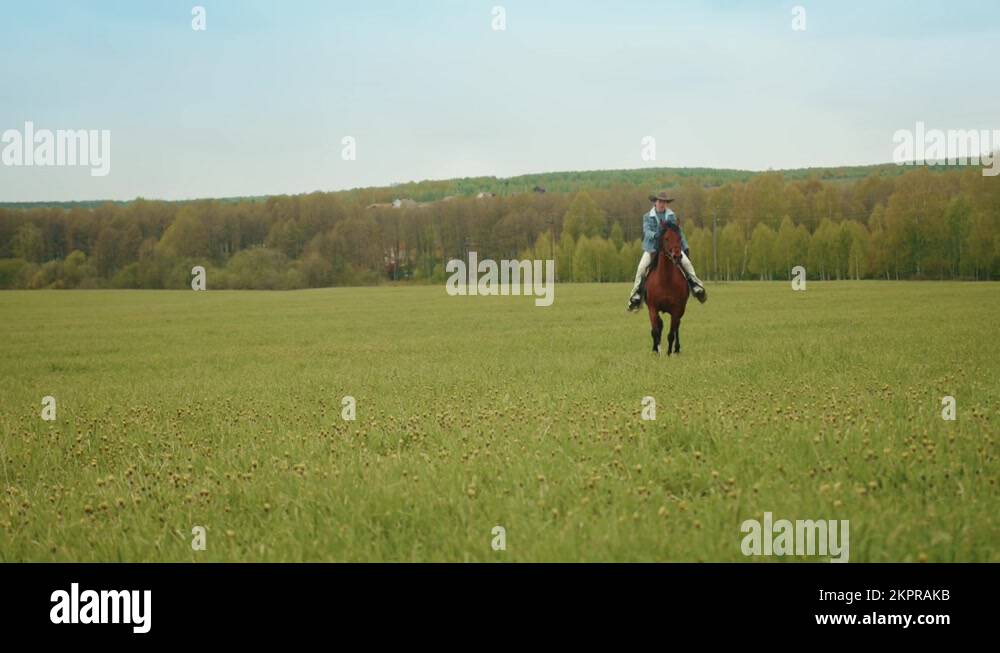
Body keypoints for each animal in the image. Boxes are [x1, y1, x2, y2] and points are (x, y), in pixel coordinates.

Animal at [642, 224, 689, 355]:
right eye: (666, 238)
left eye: (679, 237)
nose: (677, 256)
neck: (665, 280)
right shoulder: (653, 308)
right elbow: (655, 331)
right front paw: (657, 351)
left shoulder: (676, 309)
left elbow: (671, 334)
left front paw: (668, 353)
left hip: (681, 309)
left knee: (677, 326)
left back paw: (676, 349)